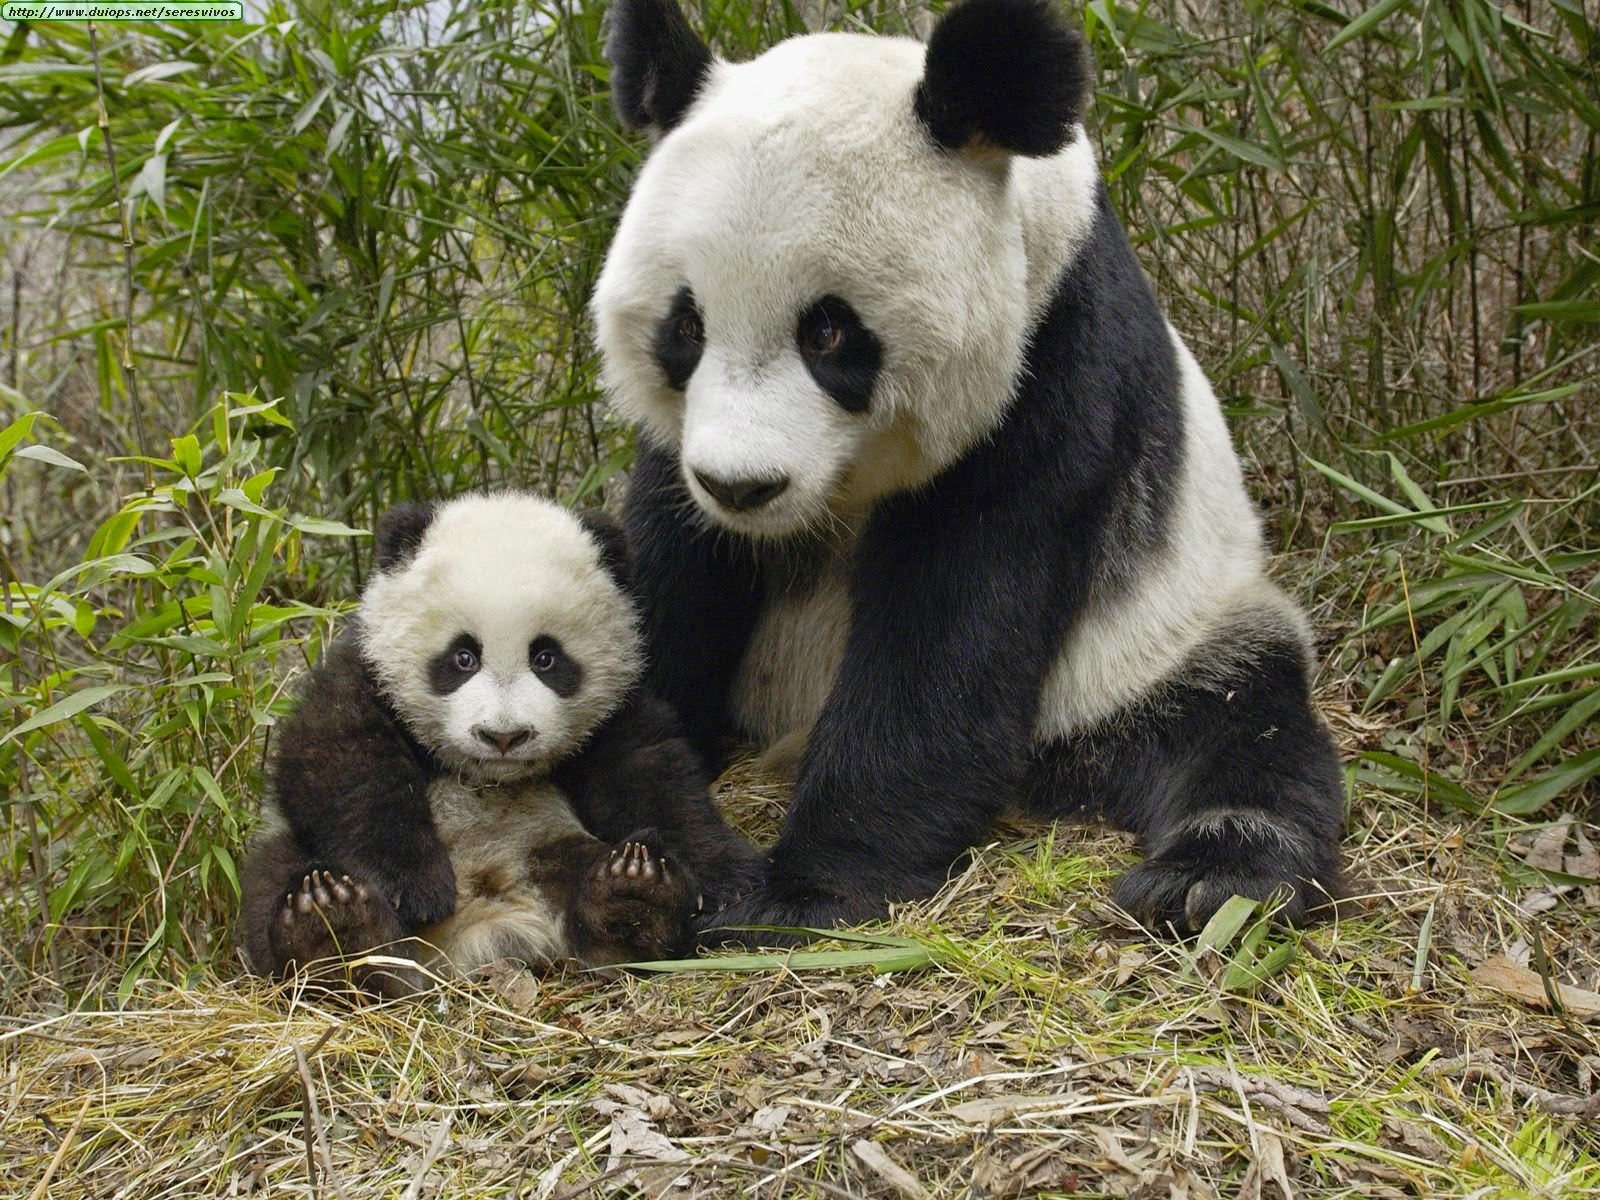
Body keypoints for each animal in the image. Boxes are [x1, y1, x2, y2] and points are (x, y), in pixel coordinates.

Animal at [238, 491, 763, 995]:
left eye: (546, 657)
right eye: (463, 656)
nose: (504, 736)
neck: (486, 777)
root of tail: (479, 931)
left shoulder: (617, 708)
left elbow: (651, 775)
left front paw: (728, 879)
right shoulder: (364, 671)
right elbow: (338, 761)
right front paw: (414, 886)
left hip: (546, 844)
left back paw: (634, 898)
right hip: (290, 854)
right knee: (274, 878)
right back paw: (333, 931)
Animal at [592, 0, 1346, 940]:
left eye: (828, 331)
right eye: (686, 328)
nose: (742, 487)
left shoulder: (1052, 368)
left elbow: (952, 629)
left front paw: (797, 893)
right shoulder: (680, 456)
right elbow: (670, 577)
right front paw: (649, 852)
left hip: (1160, 639)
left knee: (1242, 725)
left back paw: (1210, 878)